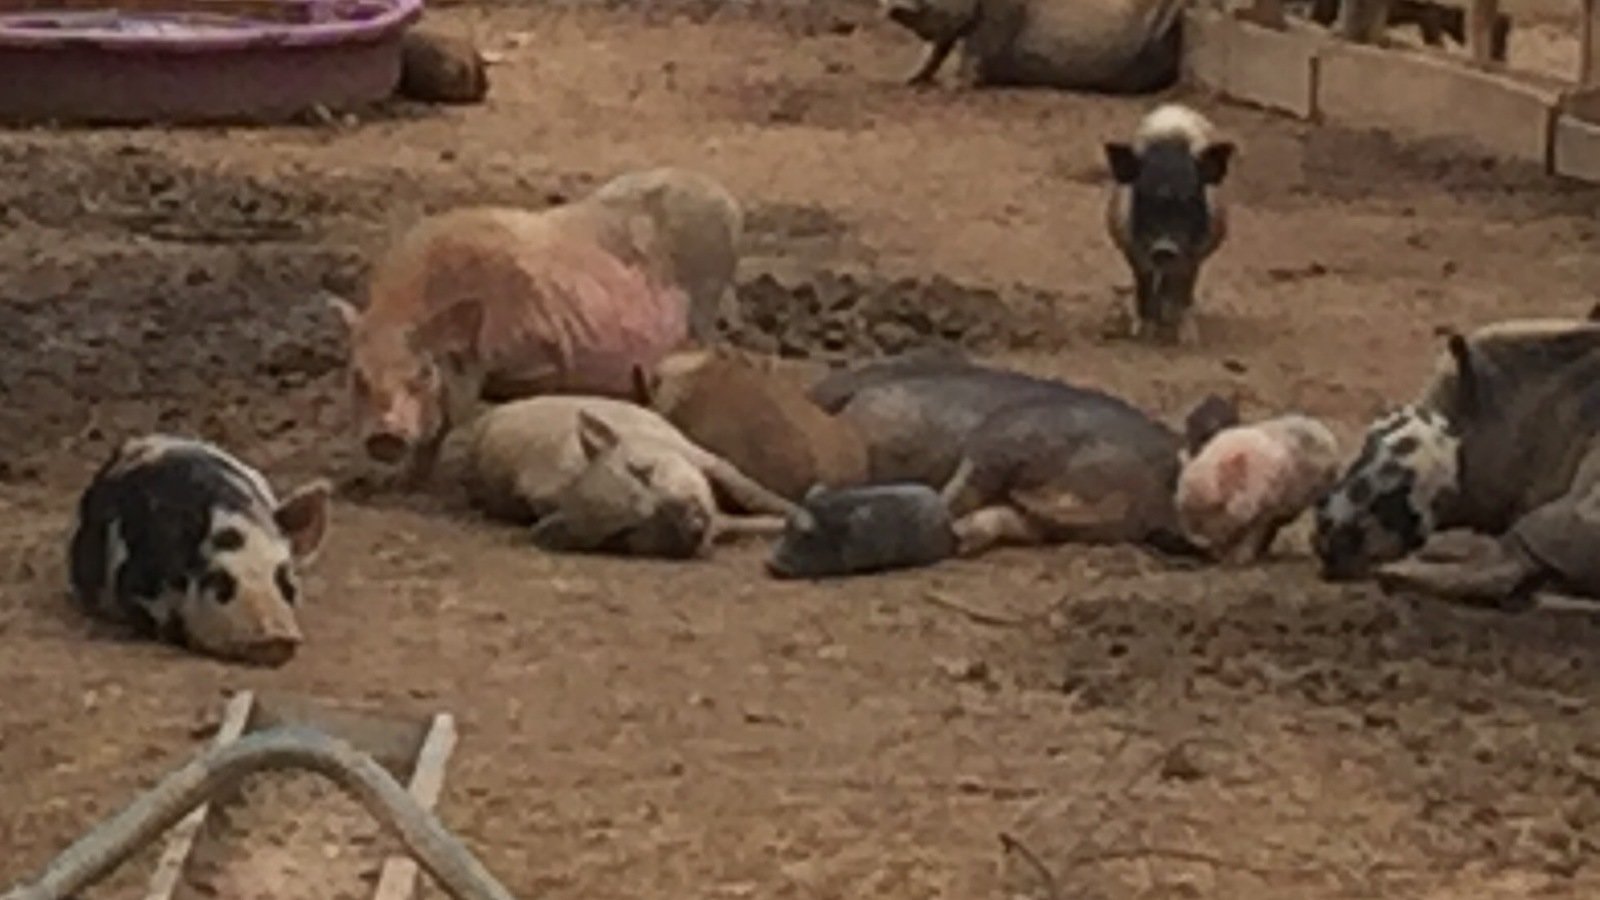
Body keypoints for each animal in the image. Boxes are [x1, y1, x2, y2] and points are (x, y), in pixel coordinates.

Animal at [326, 166, 743, 484]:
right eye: (356, 375)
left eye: (423, 374)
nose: (385, 437)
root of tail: (727, 199)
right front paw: (404, 484)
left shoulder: (534, 359)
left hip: (705, 307)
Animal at [461, 395, 796, 559]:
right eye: (622, 533)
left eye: (641, 472)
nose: (692, 524)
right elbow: (746, 523)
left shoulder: (695, 454)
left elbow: (746, 486)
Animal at [881, 0, 1188, 94]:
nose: (893, 7)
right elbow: (936, 49)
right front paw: (909, 80)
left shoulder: (998, 17)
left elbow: (975, 49)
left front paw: (951, 87)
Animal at [1104, 103, 1236, 345]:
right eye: (1144, 195)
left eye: (1191, 197)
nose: (1164, 247)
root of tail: (1175, 108)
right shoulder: (1132, 248)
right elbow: (1144, 285)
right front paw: (1143, 334)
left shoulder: (1196, 253)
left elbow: (1184, 287)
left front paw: (1188, 341)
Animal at [1174, 413, 1342, 565]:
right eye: (1183, 507)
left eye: (1218, 504)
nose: (1197, 541)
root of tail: (1324, 430)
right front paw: (1222, 558)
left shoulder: (1267, 507)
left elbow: (1253, 532)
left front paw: (1237, 561)